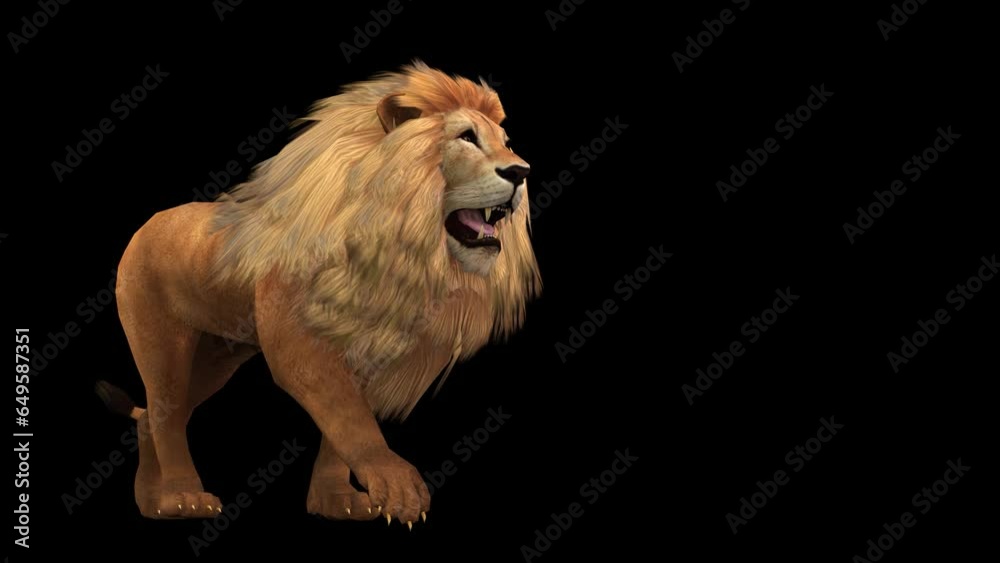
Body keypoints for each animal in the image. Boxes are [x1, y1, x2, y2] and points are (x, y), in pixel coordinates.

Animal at [104, 61, 541, 529]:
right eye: (466, 137)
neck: (398, 245)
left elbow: (343, 429)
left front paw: (337, 502)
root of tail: (147, 223)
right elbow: (350, 419)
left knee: (152, 417)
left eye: (506, 142)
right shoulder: (300, 345)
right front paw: (398, 485)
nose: (521, 172)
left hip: (217, 355)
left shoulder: (363, 346)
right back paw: (182, 497)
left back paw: (151, 502)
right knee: (166, 416)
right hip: (165, 343)